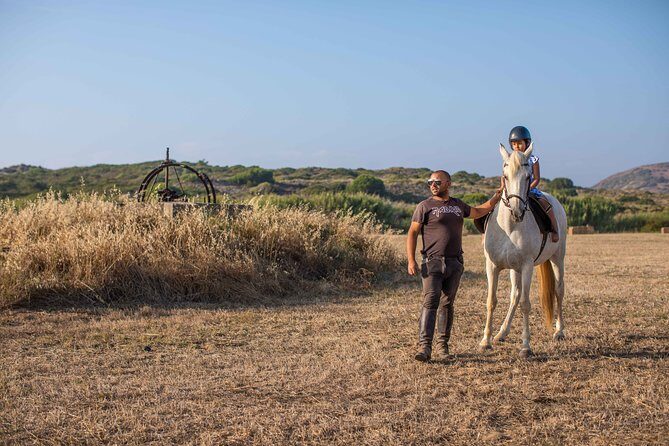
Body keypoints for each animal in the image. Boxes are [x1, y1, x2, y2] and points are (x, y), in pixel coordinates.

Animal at [478, 143, 567, 358]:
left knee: (559, 291)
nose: (518, 211)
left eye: (528, 177)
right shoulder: (492, 266)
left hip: (557, 258)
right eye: (505, 175)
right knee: (515, 295)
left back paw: (559, 331)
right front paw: (486, 341)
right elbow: (491, 301)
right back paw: (502, 333)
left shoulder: (527, 266)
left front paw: (526, 346)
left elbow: (526, 304)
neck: (509, 227)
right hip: (514, 269)